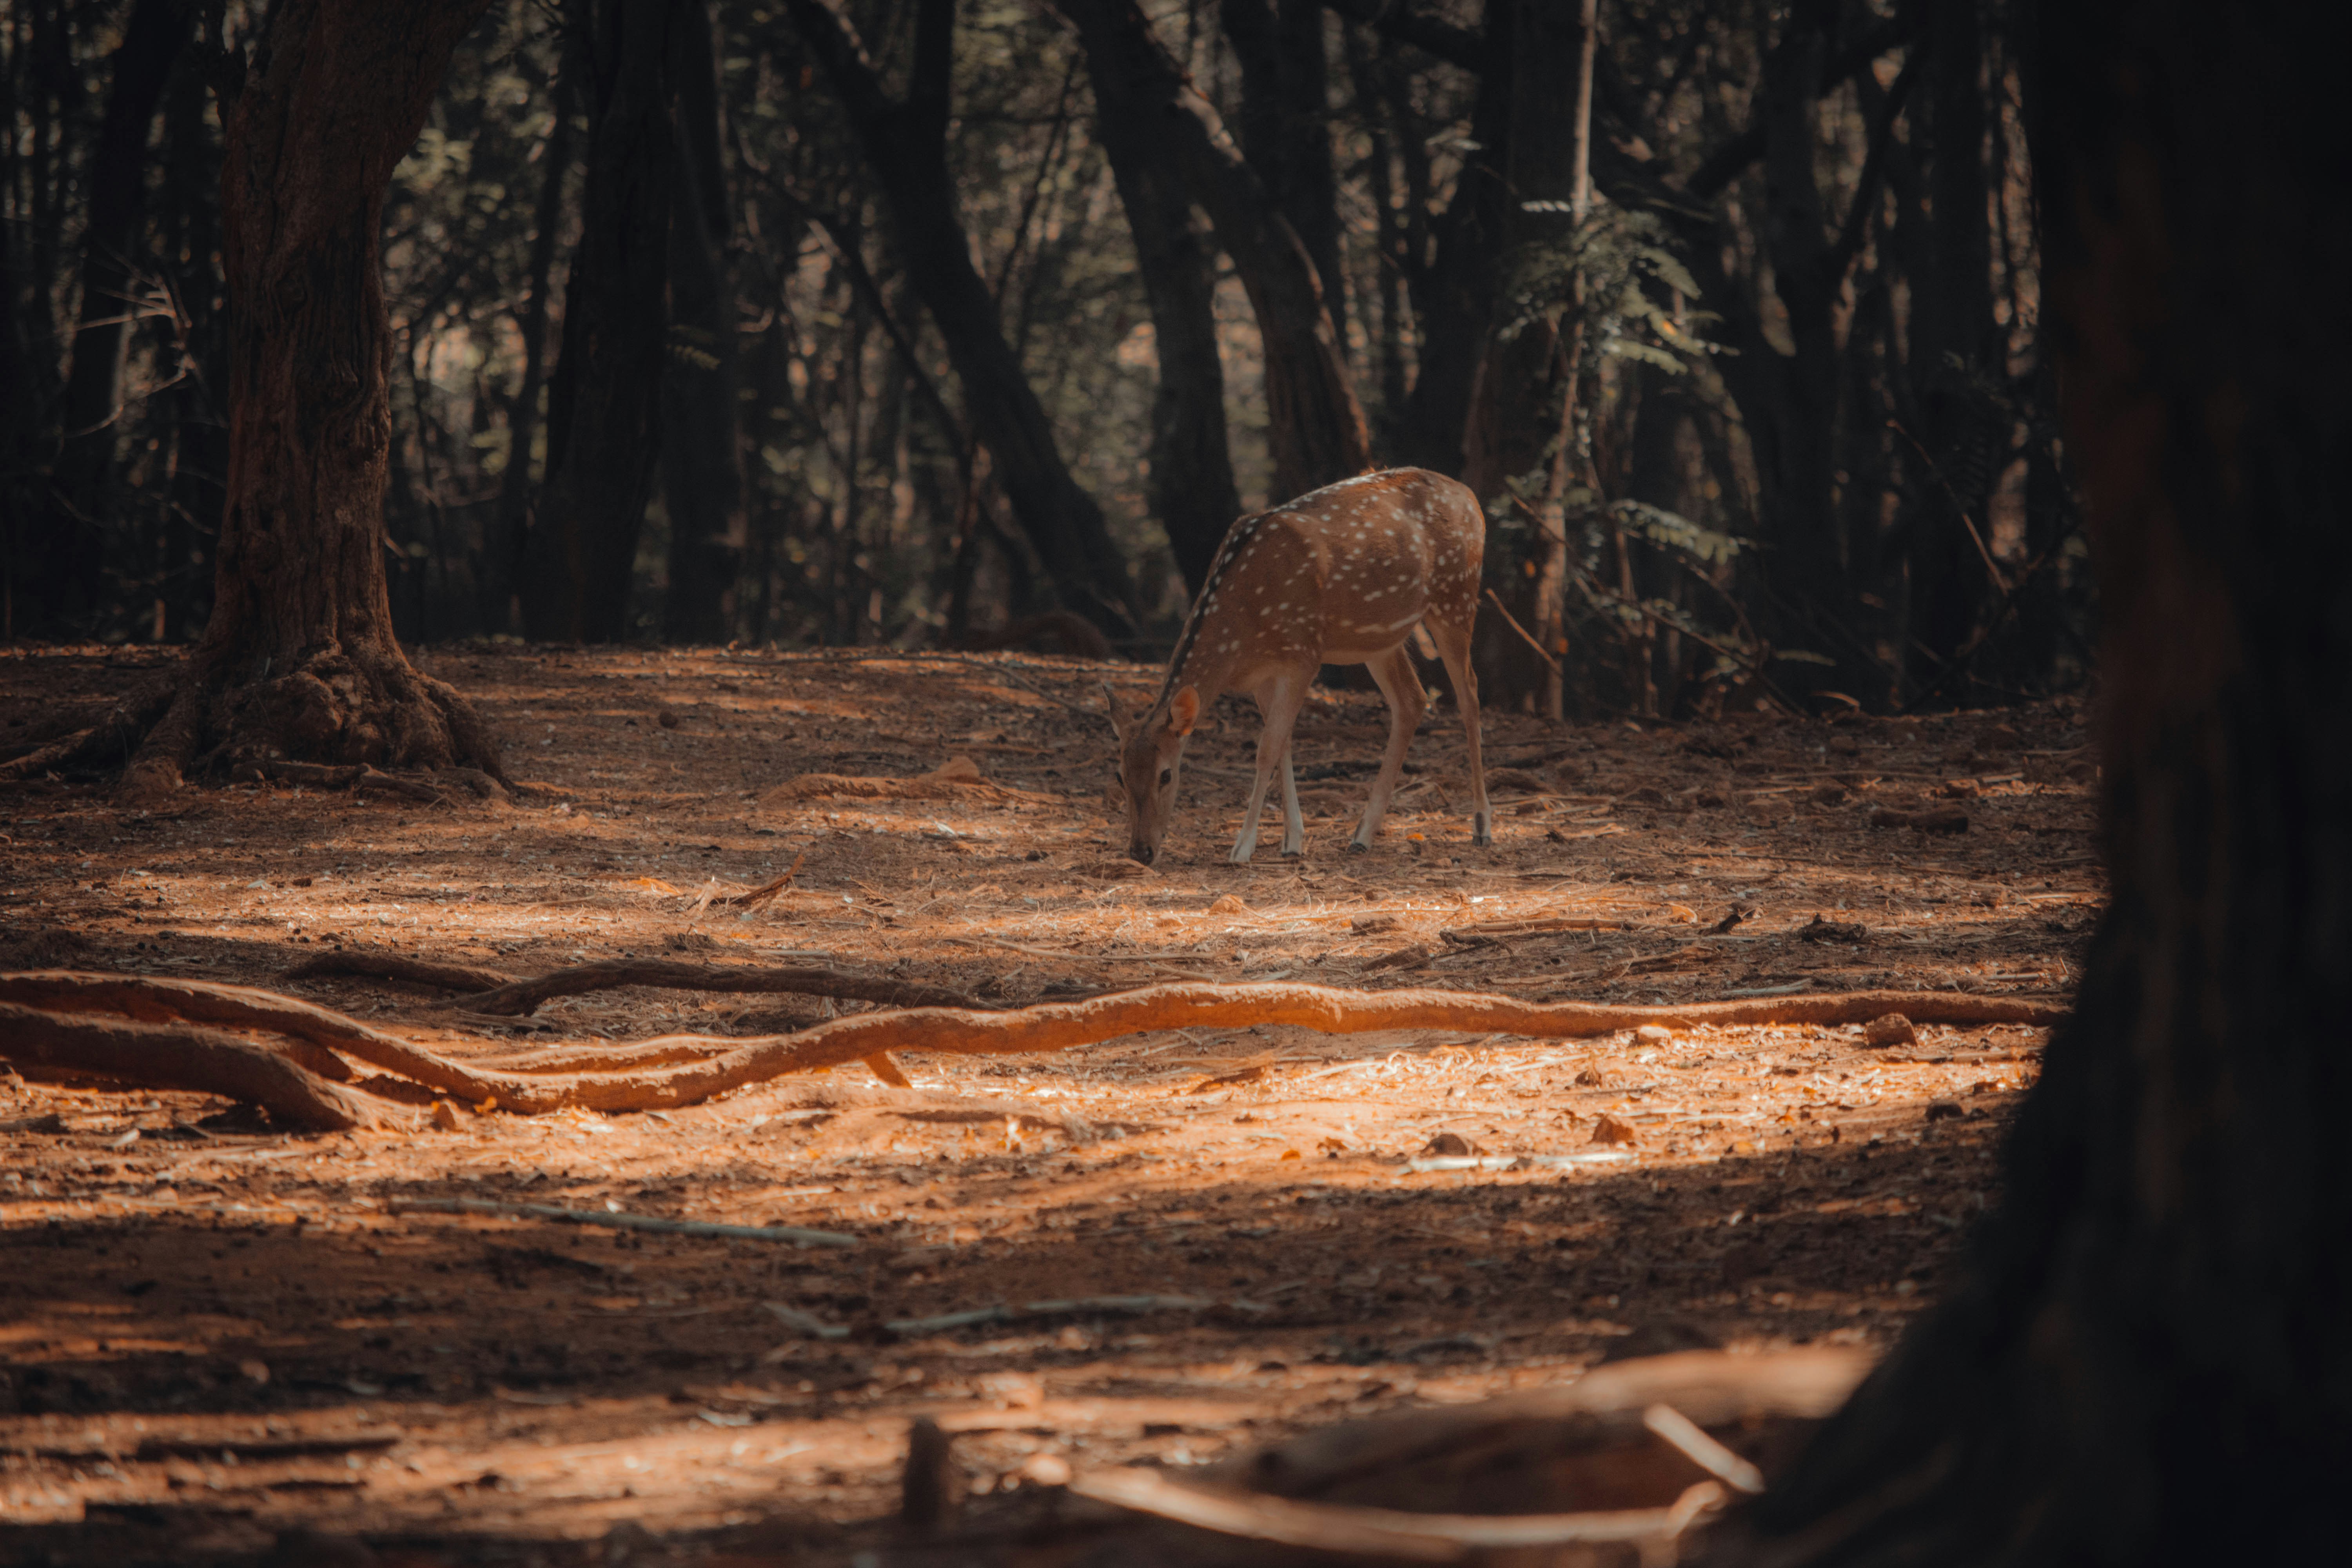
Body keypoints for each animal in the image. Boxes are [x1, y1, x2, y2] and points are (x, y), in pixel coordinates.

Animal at [1106, 467, 1492, 866]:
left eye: (1166, 775)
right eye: (1119, 775)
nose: (1141, 851)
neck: (1242, 635)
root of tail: (1470, 497)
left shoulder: (1304, 654)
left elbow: (1267, 748)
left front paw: (1243, 846)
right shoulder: (1264, 675)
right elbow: (1284, 744)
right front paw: (1292, 840)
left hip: (1457, 598)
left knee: (1469, 695)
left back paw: (1481, 827)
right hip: (1381, 638)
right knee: (1412, 701)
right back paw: (1362, 836)